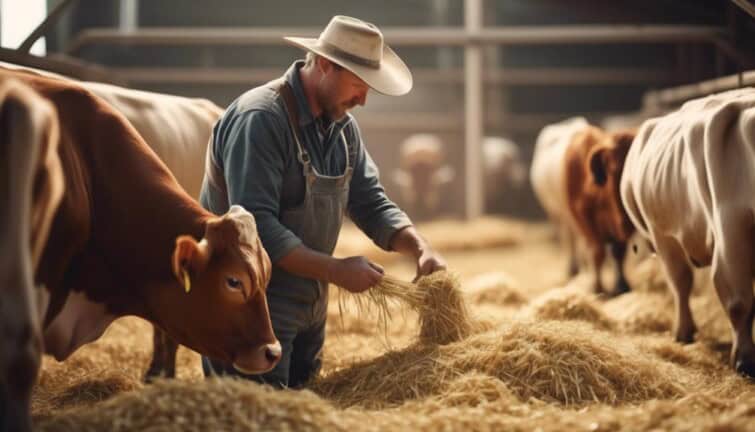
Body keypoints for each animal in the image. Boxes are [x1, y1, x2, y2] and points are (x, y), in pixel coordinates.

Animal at [564, 126, 636, 296]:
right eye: (614, 170)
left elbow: (619, 252)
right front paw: (597, 287)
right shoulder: (586, 219)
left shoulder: (620, 230)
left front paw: (622, 286)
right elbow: (597, 252)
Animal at [620, 87, 755, 377]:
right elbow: (738, 301)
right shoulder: (730, 229)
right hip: (663, 235)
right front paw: (744, 360)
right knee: (680, 282)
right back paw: (683, 331)